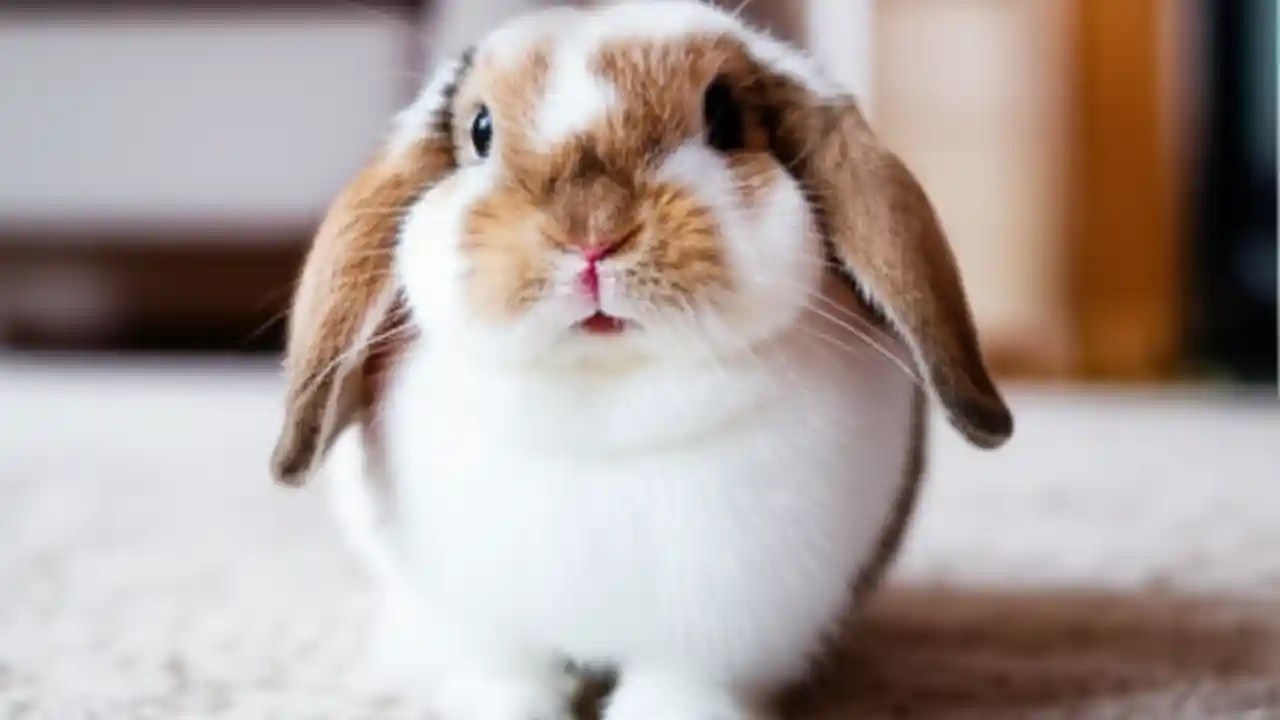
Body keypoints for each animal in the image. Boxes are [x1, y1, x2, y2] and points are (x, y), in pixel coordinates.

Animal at [269, 2, 1013, 718]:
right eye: (480, 130)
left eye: (724, 116)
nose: (592, 232)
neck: (607, 403)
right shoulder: (487, 627)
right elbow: (508, 674)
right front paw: (499, 709)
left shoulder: (722, 632)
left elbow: (682, 684)